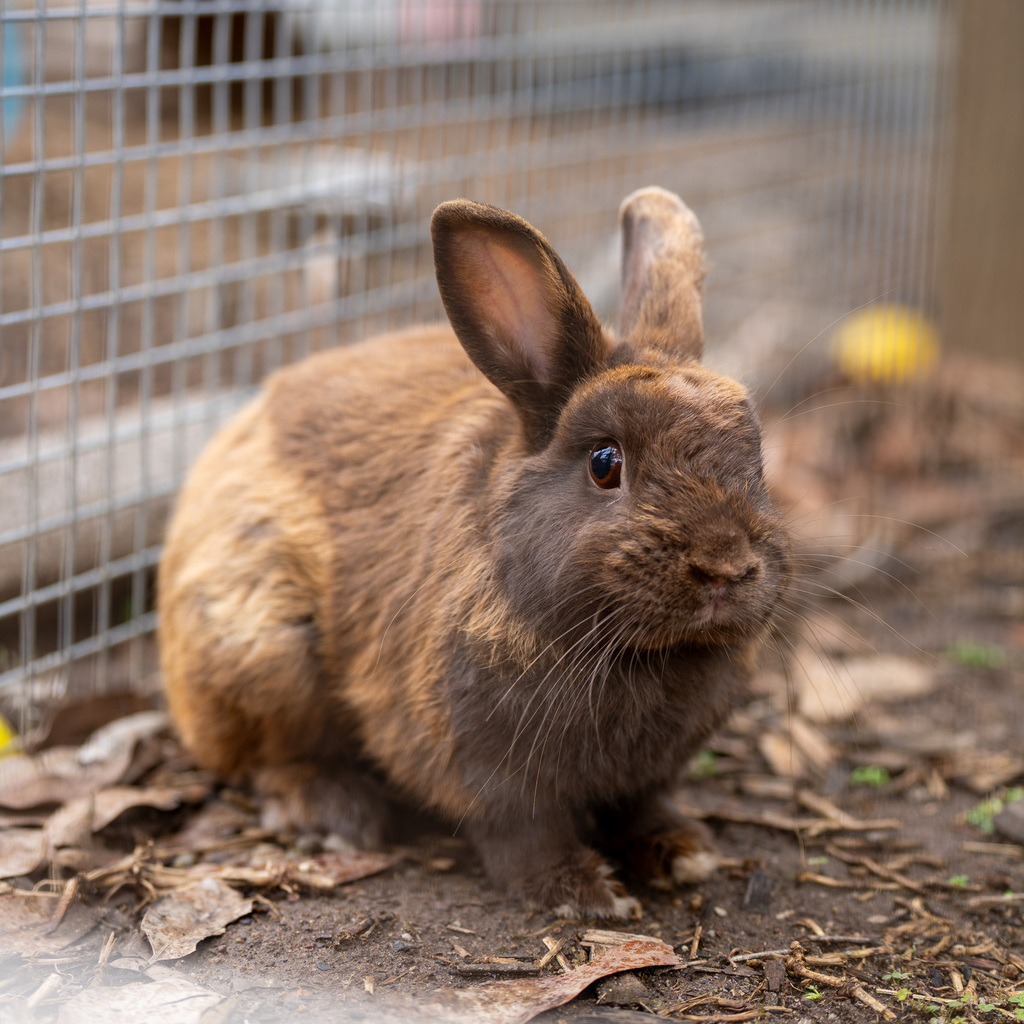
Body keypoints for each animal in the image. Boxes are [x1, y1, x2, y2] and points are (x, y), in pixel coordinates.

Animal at [158, 187, 791, 919]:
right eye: (606, 464)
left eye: (756, 459)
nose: (726, 567)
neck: (634, 653)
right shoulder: (480, 763)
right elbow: (522, 832)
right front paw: (580, 893)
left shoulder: (652, 771)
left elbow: (643, 806)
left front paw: (683, 853)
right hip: (264, 650)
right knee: (262, 758)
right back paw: (332, 811)